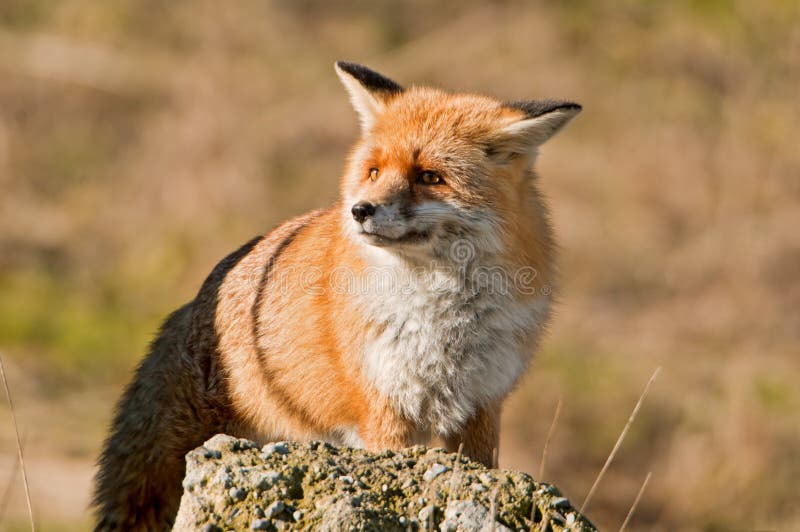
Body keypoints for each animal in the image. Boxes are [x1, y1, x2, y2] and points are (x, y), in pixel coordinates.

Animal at [92, 61, 581, 530]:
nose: (360, 210)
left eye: (430, 177)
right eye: (374, 171)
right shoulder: (385, 407)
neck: (444, 315)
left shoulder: (481, 403)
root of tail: (192, 306)